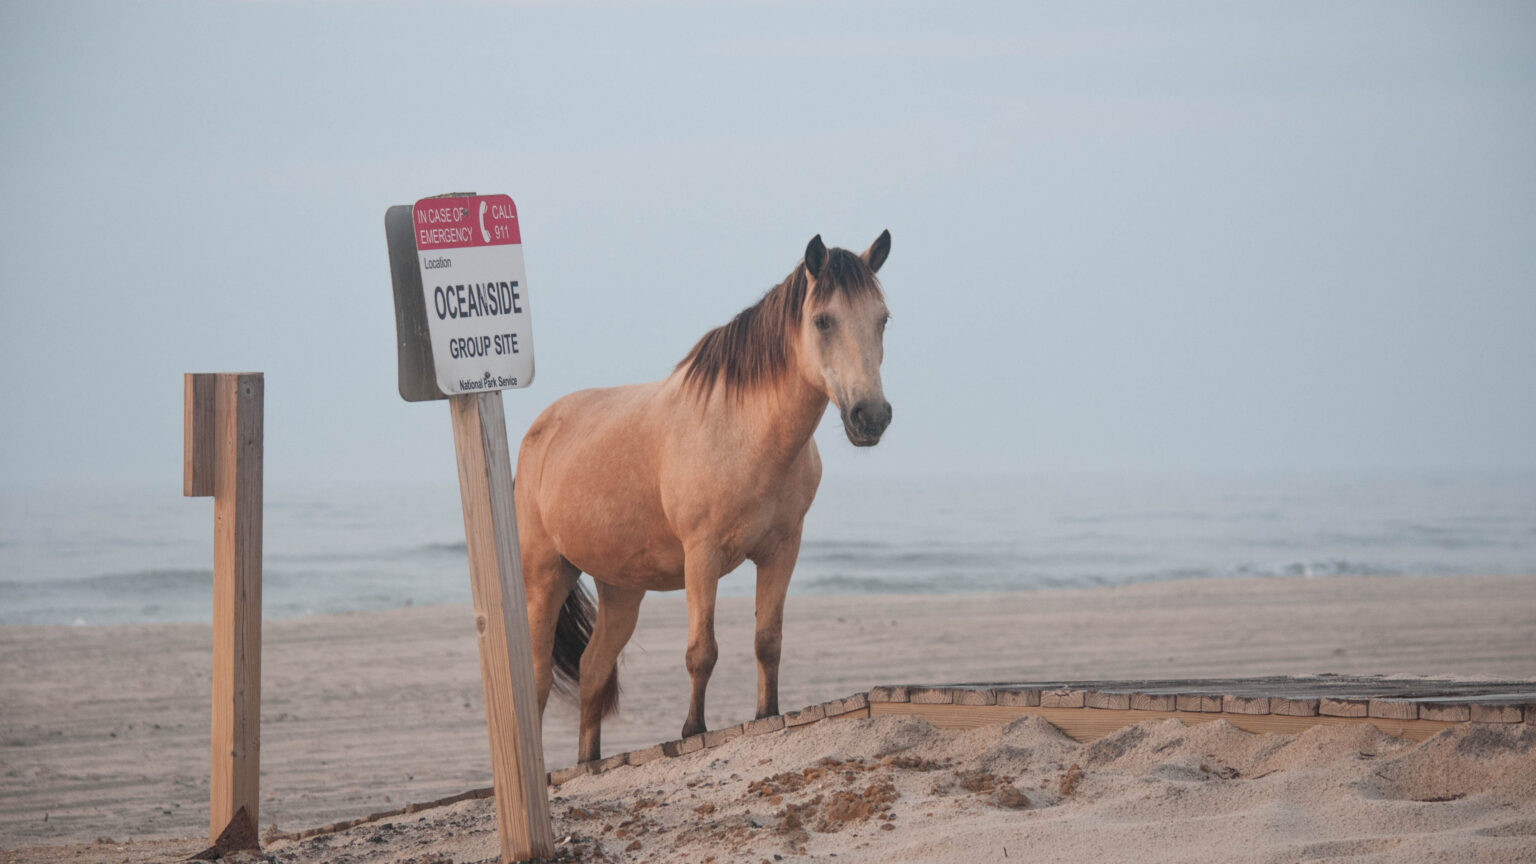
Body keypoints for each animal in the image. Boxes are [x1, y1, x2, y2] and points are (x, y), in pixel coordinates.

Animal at [514, 231, 893, 764]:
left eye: (883, 319)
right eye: (823, 320)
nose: (871, 417)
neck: (746, 431)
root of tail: (539, 431)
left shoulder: (782, 550)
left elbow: (767, 640)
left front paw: (767, 715)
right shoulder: (702, 554)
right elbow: (702, 651)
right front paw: (693, 729)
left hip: (621, 589)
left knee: (593, 668)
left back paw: (590, 761)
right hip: (546, 577)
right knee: (537, 681)